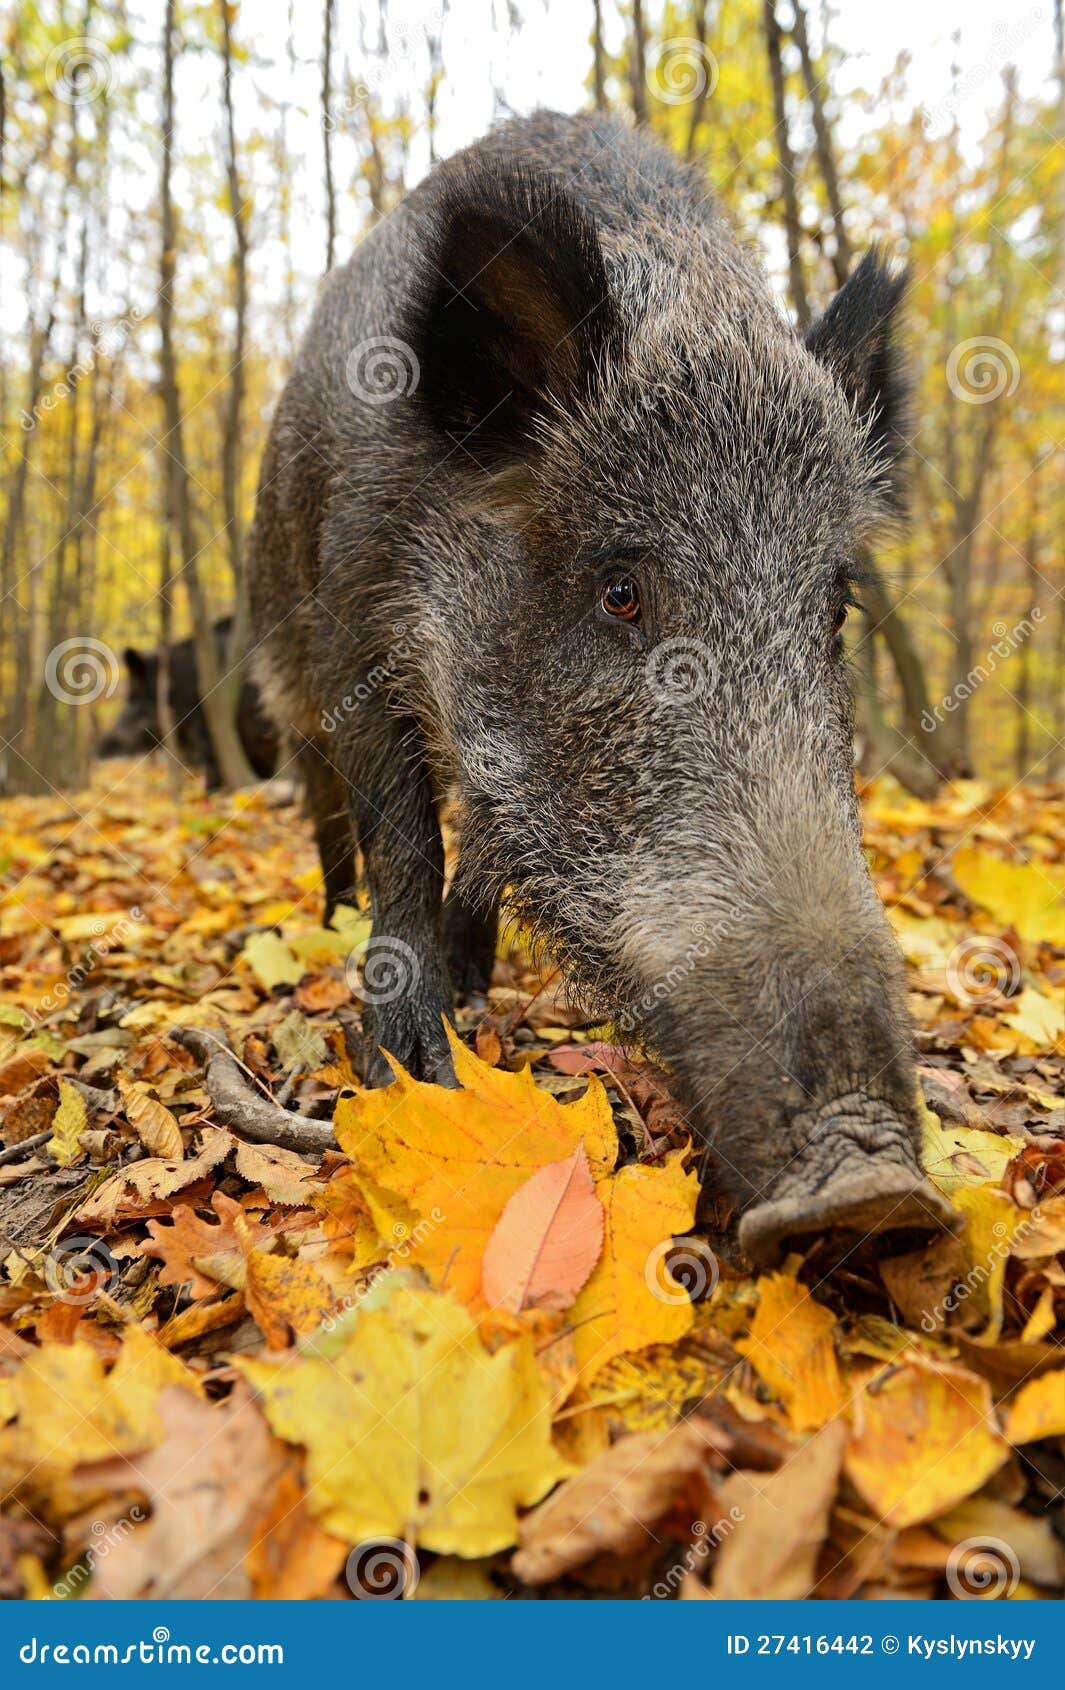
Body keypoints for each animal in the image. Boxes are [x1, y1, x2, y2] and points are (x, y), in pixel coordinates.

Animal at [247, 110, 955, 1263]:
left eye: (835, 609)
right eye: (621, 591)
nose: (874, 1184)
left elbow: (483, 842)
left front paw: (462, 998)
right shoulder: (356, 634)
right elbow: (403, 837)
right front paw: (408, 1068)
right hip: (278, 641)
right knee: (324, 804)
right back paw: (333, 920)